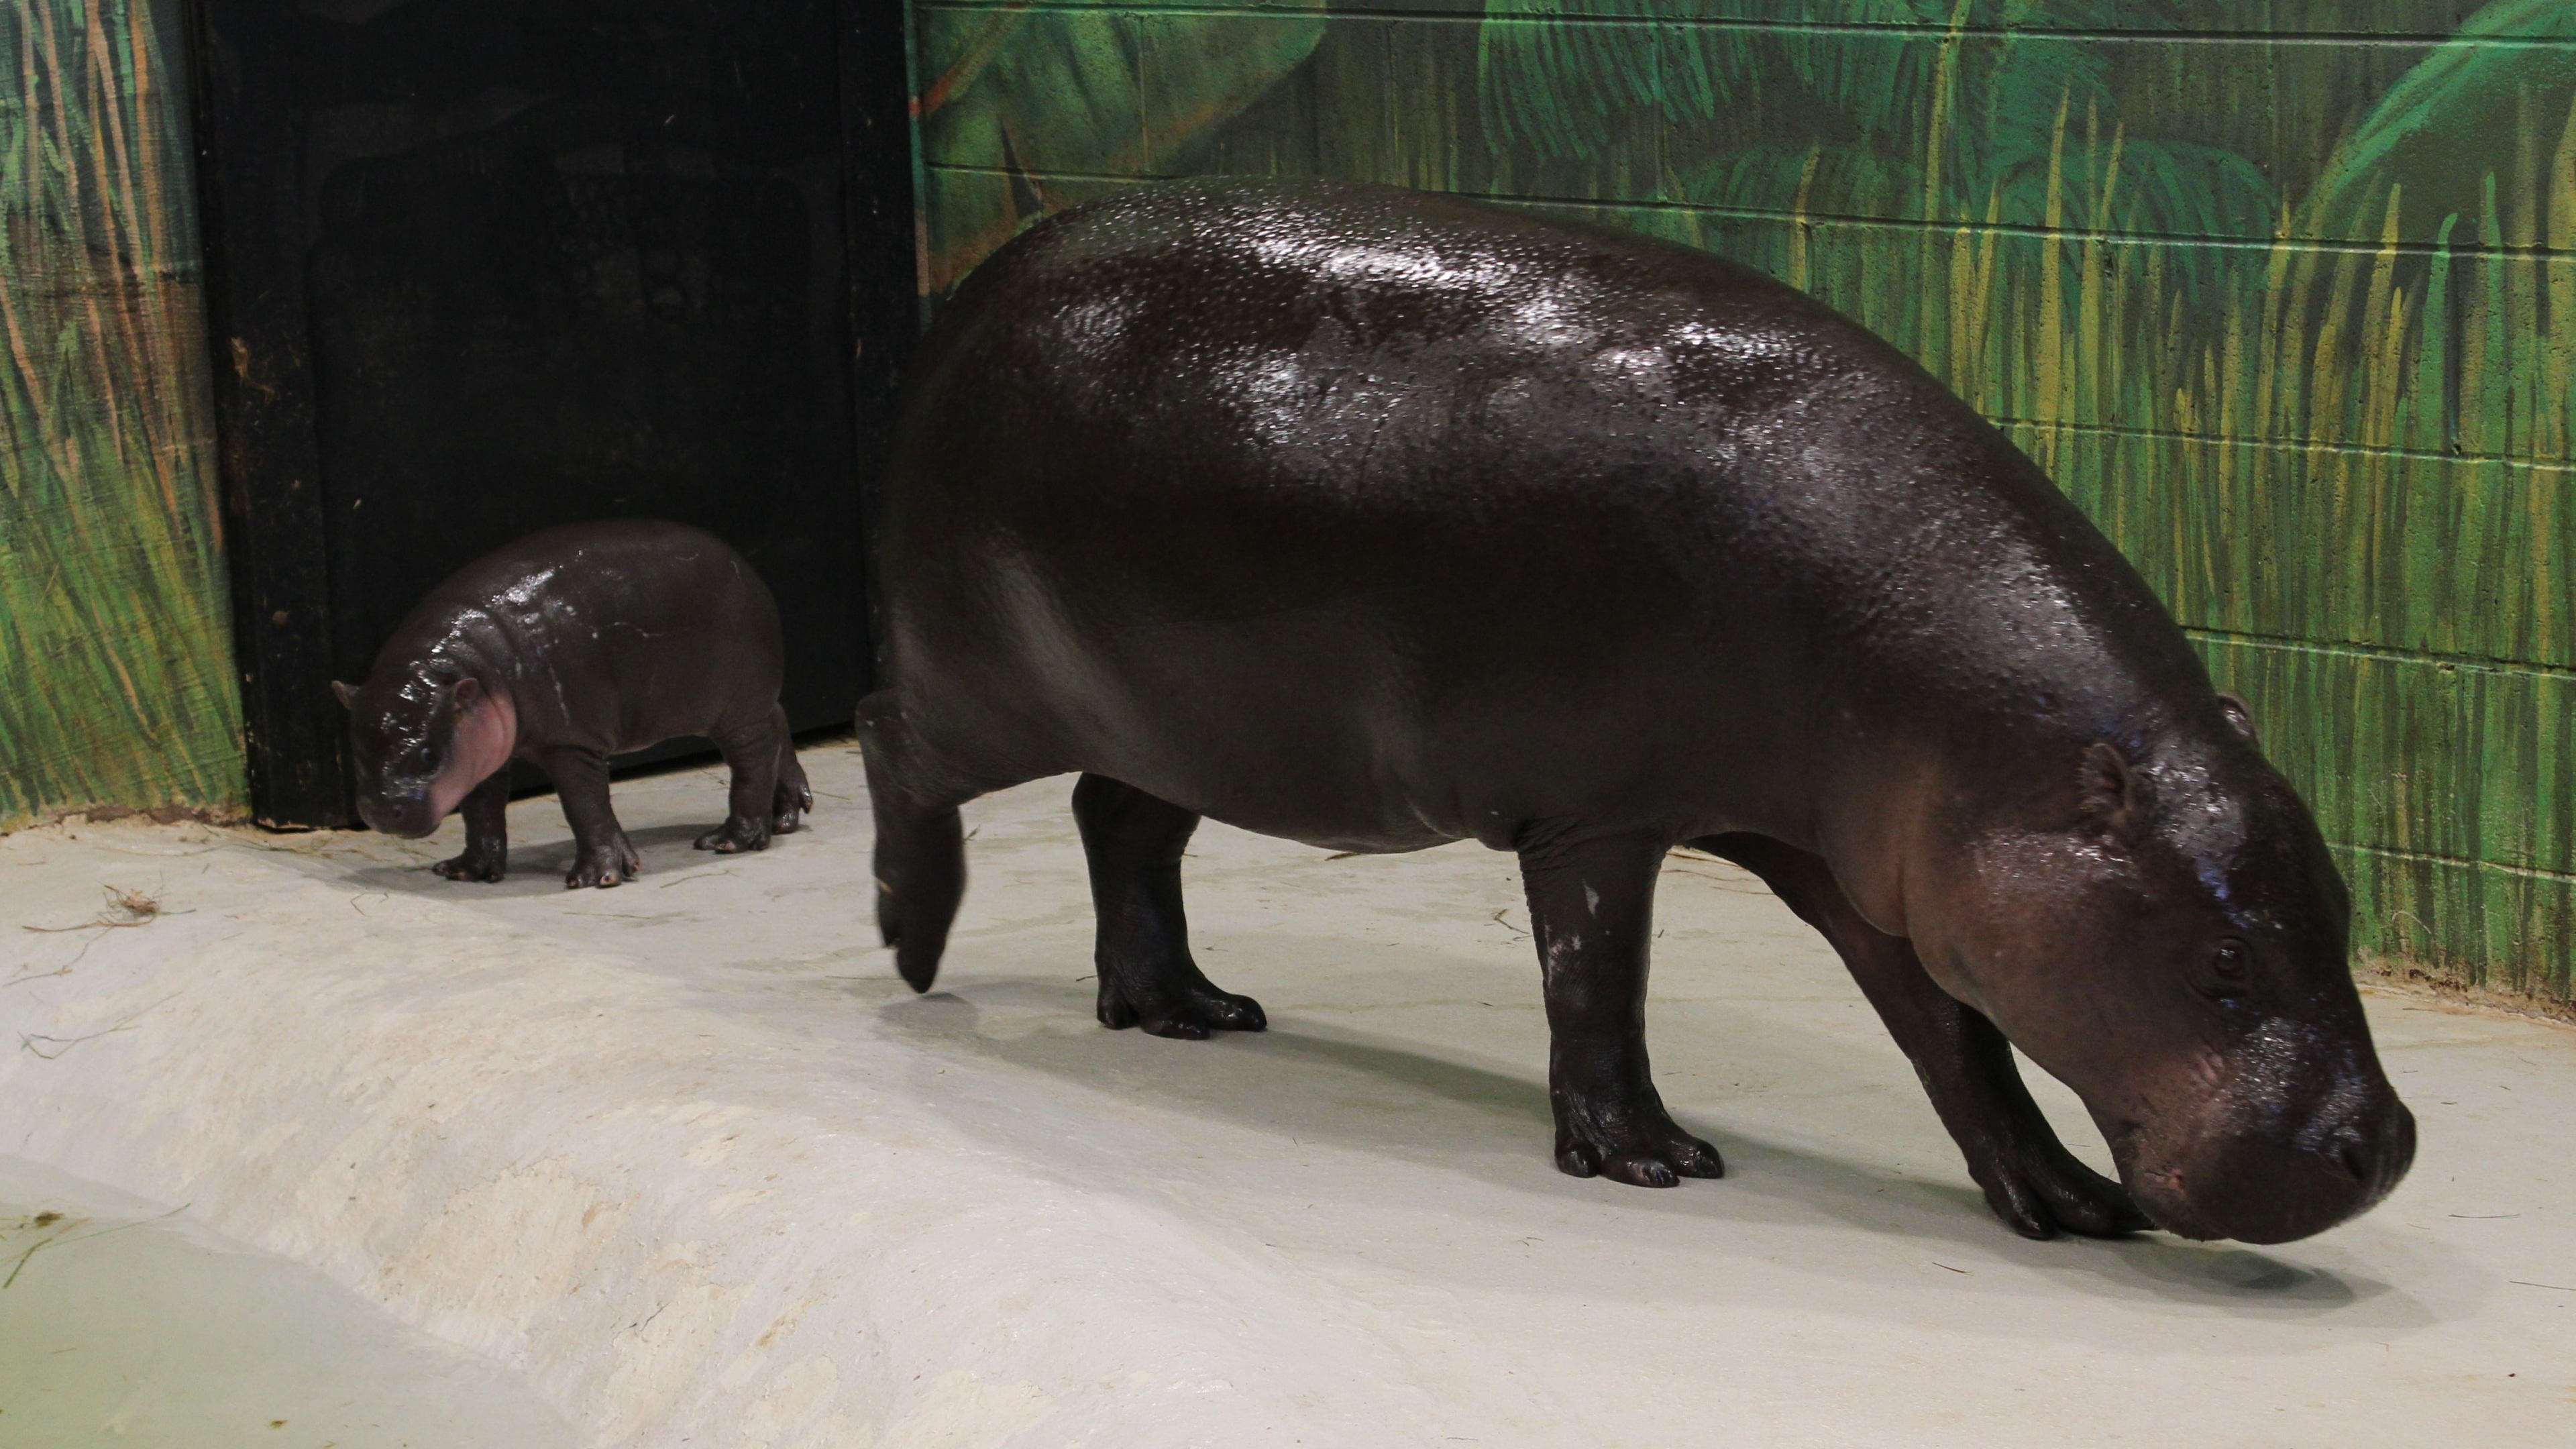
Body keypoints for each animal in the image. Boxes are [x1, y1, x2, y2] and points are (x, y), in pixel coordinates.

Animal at [334, 519, 811, 888]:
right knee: (779, 725)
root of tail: (747, 568)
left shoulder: (570, 741)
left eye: (429, 755)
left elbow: (584, 803)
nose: (379, 810)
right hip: (753, 701)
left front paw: (599, 877)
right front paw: (466, 872)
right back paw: (786, 816)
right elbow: (481, 812)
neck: (458, 670)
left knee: (753, 760)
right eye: (355, 752)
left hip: (737, 709)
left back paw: (728, 841)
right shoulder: (478, 750)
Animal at [858, 178, 2414, 1244]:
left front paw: (2071, 1205)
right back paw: (913, 949)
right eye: (2222, 964)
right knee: (898, 744)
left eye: (2340, 910)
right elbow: (1599, 984)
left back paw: (1189, 1011)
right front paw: (1653, 1162)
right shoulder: (1599, 816)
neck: (1976, 730)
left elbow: (1956, 1040)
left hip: (1174, 717)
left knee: (1118, 822)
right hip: (984, 679)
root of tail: (967, 291)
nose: (2388, 1149)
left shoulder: (1884, 872)